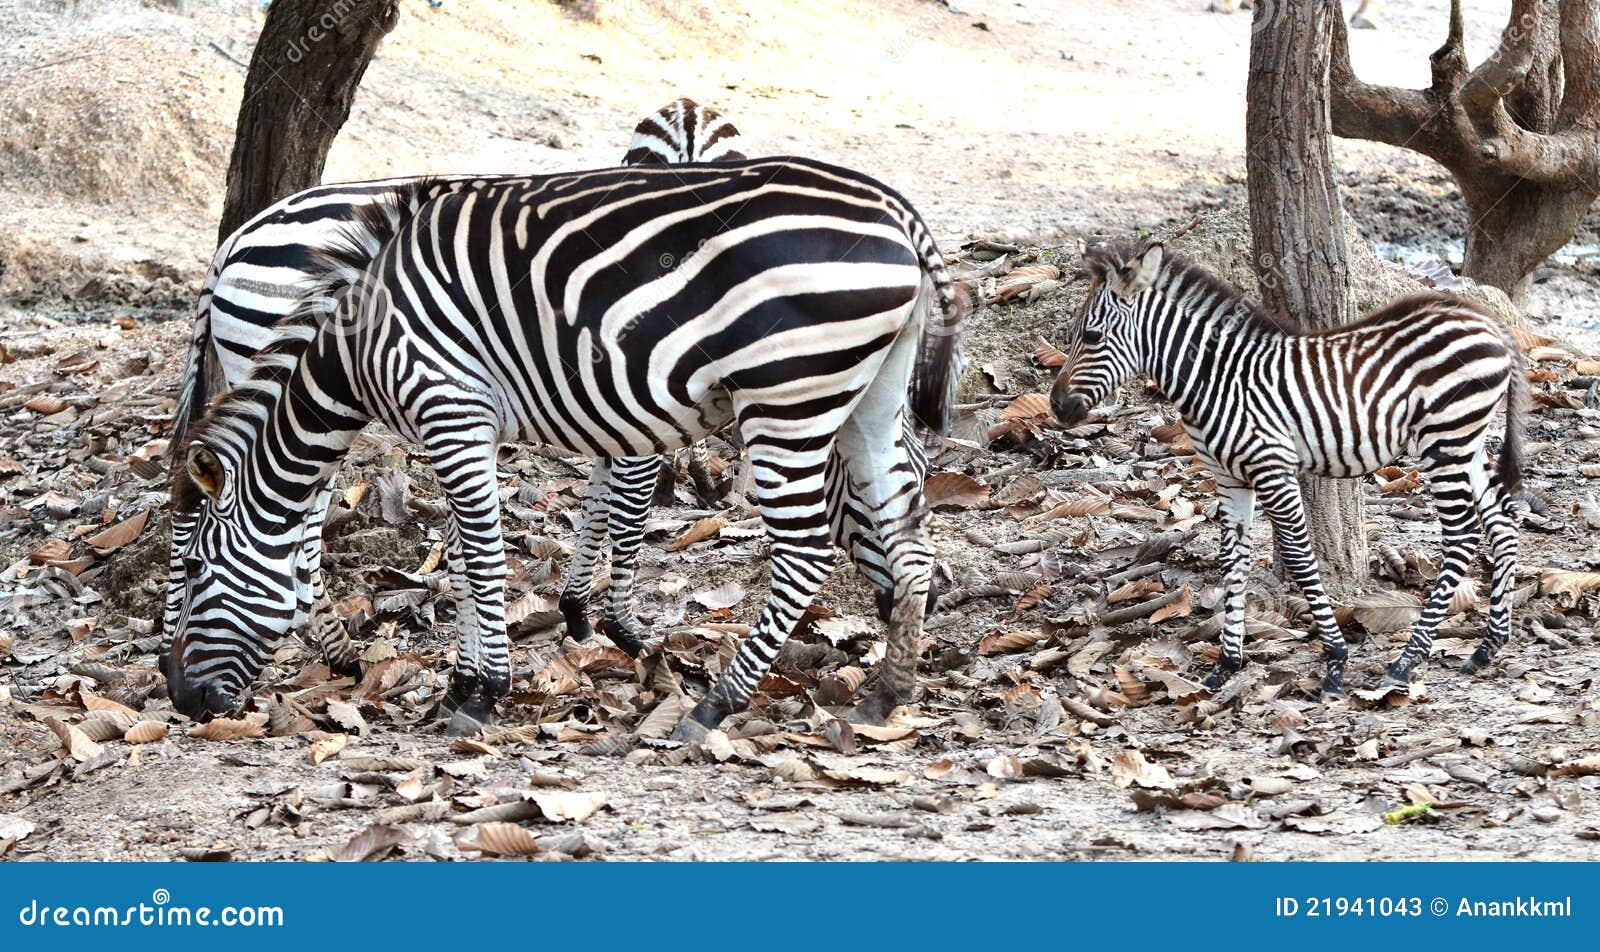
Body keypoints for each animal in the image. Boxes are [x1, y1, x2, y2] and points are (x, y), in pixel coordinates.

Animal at [163, 157, 966, 743]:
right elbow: (470, 560)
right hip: (865, 395)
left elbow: (490, 557)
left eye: (204, 571)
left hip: (789, 392)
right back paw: (889, 692)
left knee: (805, 553)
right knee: (906, 540)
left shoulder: (454, 409)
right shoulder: (462, 423)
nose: (181, 701)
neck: (361, 339)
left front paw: (485, 692)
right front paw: (472, 677)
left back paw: (718, 703)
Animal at [164, 98, 749, 674]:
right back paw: (335, 647)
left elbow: (597, 494)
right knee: (291, 527)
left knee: (199, 501)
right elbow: (625, 508)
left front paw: (572, 608)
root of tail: (236, 239)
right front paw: (617, 625)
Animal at [1050, 241, 1525, 696]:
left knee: (1462, 536)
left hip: (1443, 440)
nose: (1056, 407)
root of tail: (1485, 318)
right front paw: (1227, 663)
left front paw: (1335, 659)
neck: (1217, 381)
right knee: (1502, 522)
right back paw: (1488, 645)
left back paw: (1408, 660)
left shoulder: (1272, 468)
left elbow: (1299, 556)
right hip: (1466, 442)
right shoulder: (1229, 479)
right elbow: (1233, 559)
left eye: (1091, 336)